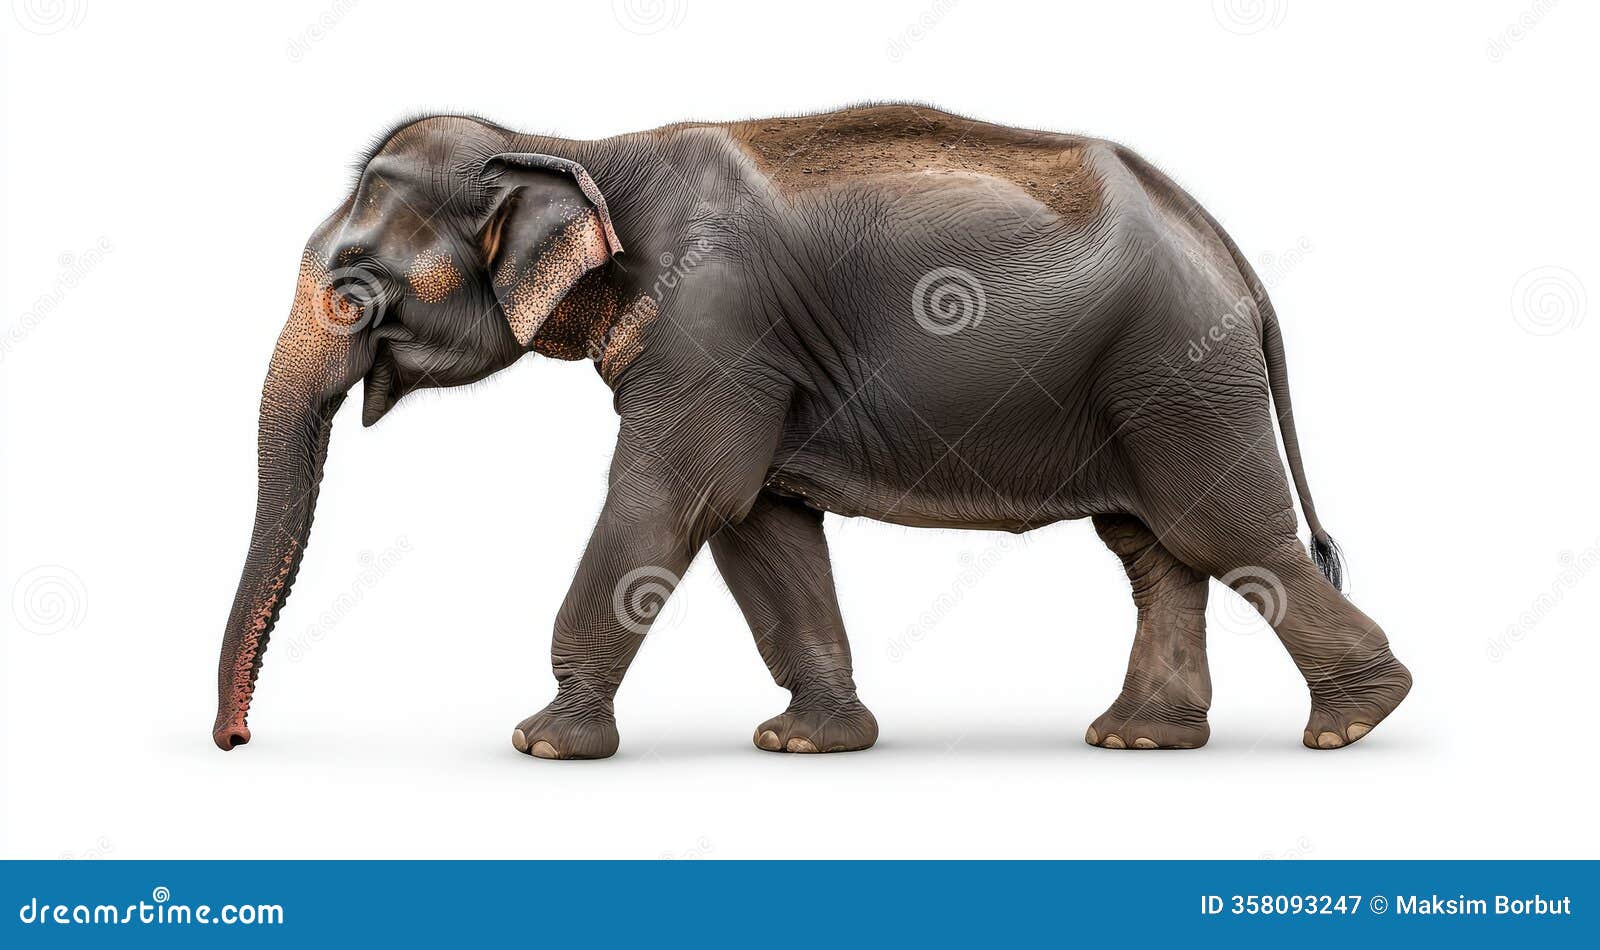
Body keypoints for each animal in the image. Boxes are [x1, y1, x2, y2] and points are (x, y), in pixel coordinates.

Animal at [214, 104, 1411, 759]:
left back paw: (1352, 723)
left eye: (355, 291)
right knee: (1154, 548)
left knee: (1225, 534)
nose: (236, 740)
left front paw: (542, 742)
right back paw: (1141, 737)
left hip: (1177, 369)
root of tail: (1233, 252)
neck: (567, 143)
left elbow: (670, 501)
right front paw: (810, 741)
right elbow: (759, 522)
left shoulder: (711, 326)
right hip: (1144, 381)